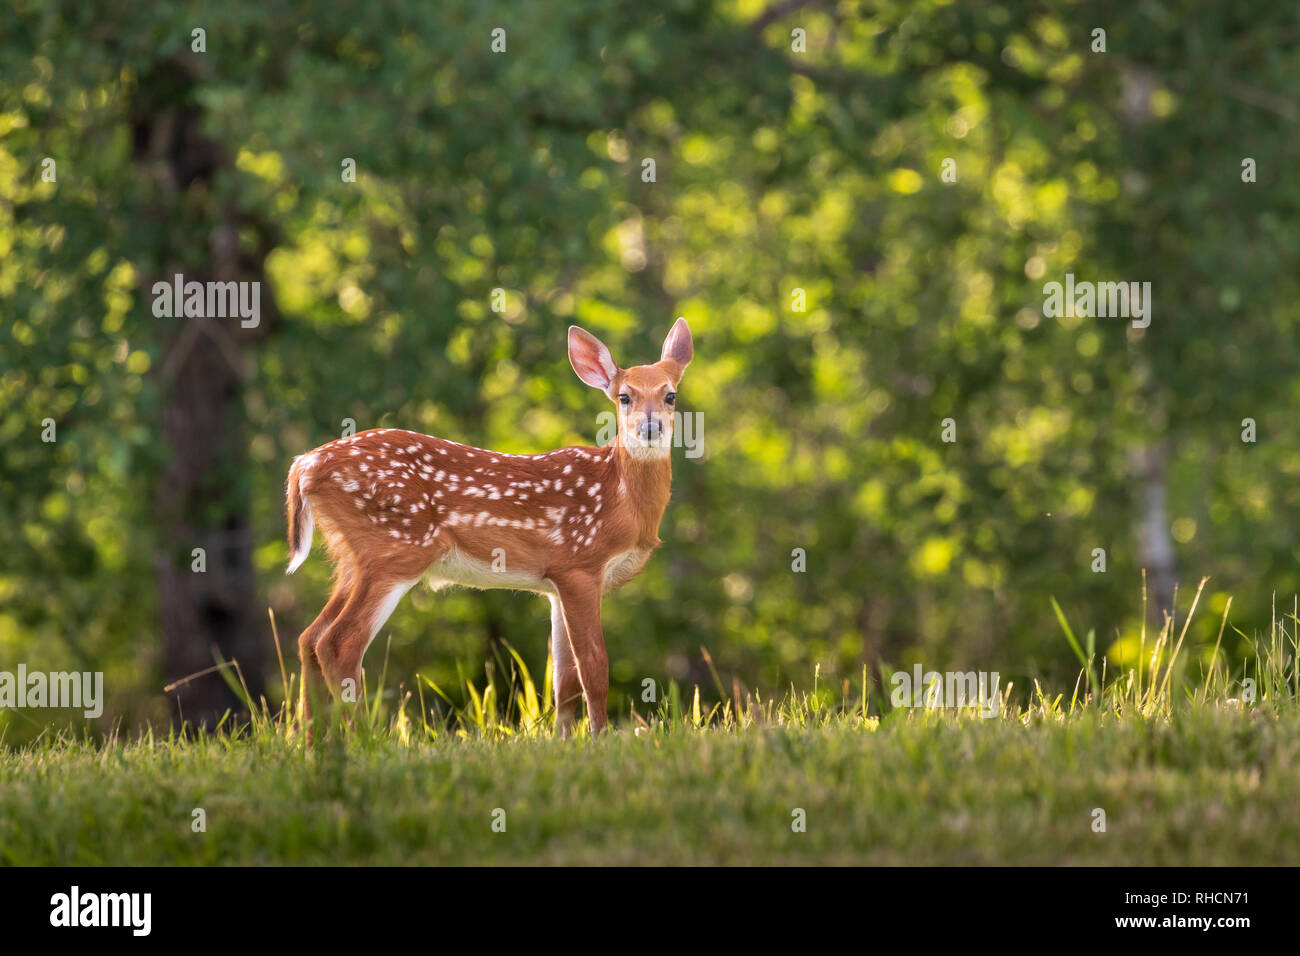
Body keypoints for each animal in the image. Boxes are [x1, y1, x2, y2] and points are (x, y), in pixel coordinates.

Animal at [285, 318, 693, 740]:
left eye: (671, 395)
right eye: (624, 397)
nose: (650, 427)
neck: (620, 498)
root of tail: (305, 465)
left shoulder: (555, 586)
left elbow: (564, 681)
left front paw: (564, 741)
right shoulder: (580, 564)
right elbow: (594, 669)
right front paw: (599, 739)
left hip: (352, 559)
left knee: (309, 637)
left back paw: (312, 743)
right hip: (395, 550)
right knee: (339, 642)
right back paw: (363, 740)